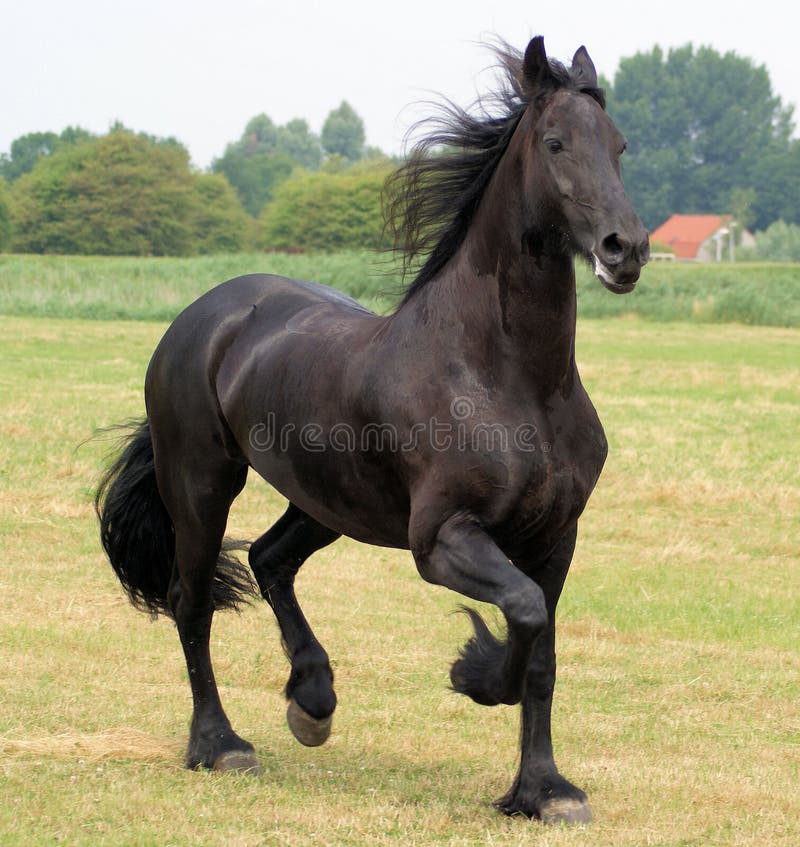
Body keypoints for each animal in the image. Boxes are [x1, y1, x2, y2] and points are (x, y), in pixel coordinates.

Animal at [95, 36, 649, 825]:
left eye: (619, 145)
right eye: (555, 143)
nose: (624, 249)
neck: (511, 379)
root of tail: (201, 316)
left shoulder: (555, 538)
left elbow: (542, 651)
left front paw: (544, 790)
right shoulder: (442, 538)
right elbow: (522, 612)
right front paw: (476, 674)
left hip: (327, 499)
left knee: (269, 558)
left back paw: (312, 701)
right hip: (202, 485)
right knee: (190, 600)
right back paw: (219, 744)